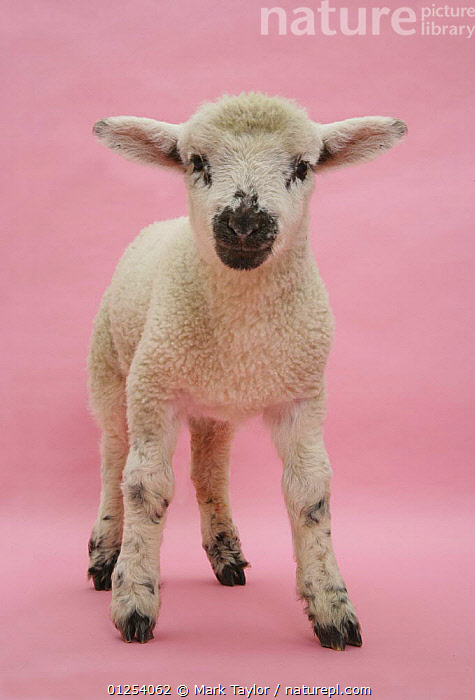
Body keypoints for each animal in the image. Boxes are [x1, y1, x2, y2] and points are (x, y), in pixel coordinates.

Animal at [87, 92, 406, 648]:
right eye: (196, 162)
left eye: (303, 167)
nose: (243, 223)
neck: (244, 333)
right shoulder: (153, 388)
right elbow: (147, 486)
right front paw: (134, 602)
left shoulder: (305, 396)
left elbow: (309, 492)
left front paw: (332, 607)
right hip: (111, 374)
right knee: (113, 461)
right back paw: (106, 554)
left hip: (213, 410)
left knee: (209, 474)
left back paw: (226, 554)